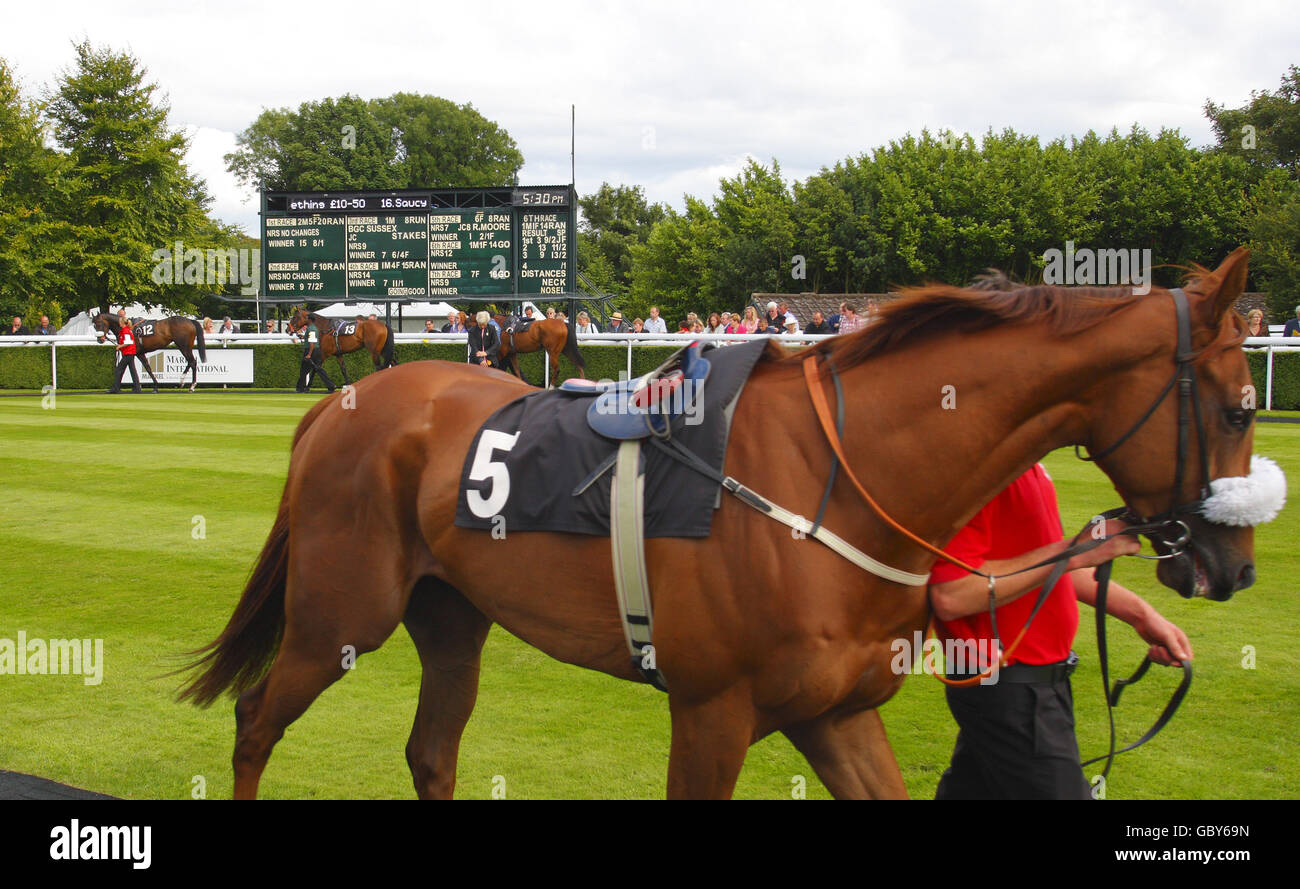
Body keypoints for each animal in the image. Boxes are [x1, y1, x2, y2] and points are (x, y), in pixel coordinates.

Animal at [181, 248, 1264, 799]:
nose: (1234, 566)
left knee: (431, 751)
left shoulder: (835, 710)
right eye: (1239, 407)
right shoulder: (712, 710)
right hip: (341, 616)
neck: (839, 472)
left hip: (450, 613)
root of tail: (342, 402)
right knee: (255, 719)